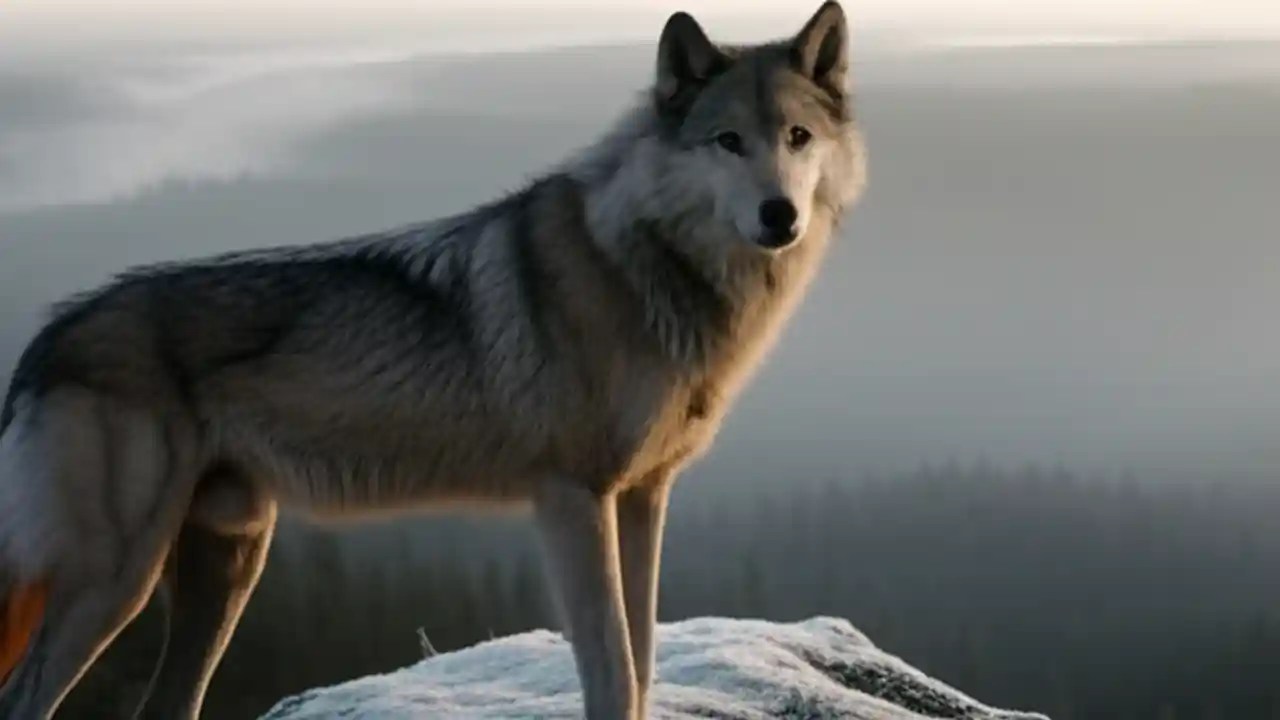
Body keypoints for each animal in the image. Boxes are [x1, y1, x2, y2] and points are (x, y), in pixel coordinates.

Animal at [0, 3, 865, 718]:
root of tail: (49, 333)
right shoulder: (573, 500)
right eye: (728, 141)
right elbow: (615, 673)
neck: (650, 269)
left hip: (229, 565)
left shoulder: (644, 498)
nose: (780, 216)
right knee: (25, 698)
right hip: (114, 582)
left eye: (798, 139)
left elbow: (645, 664)